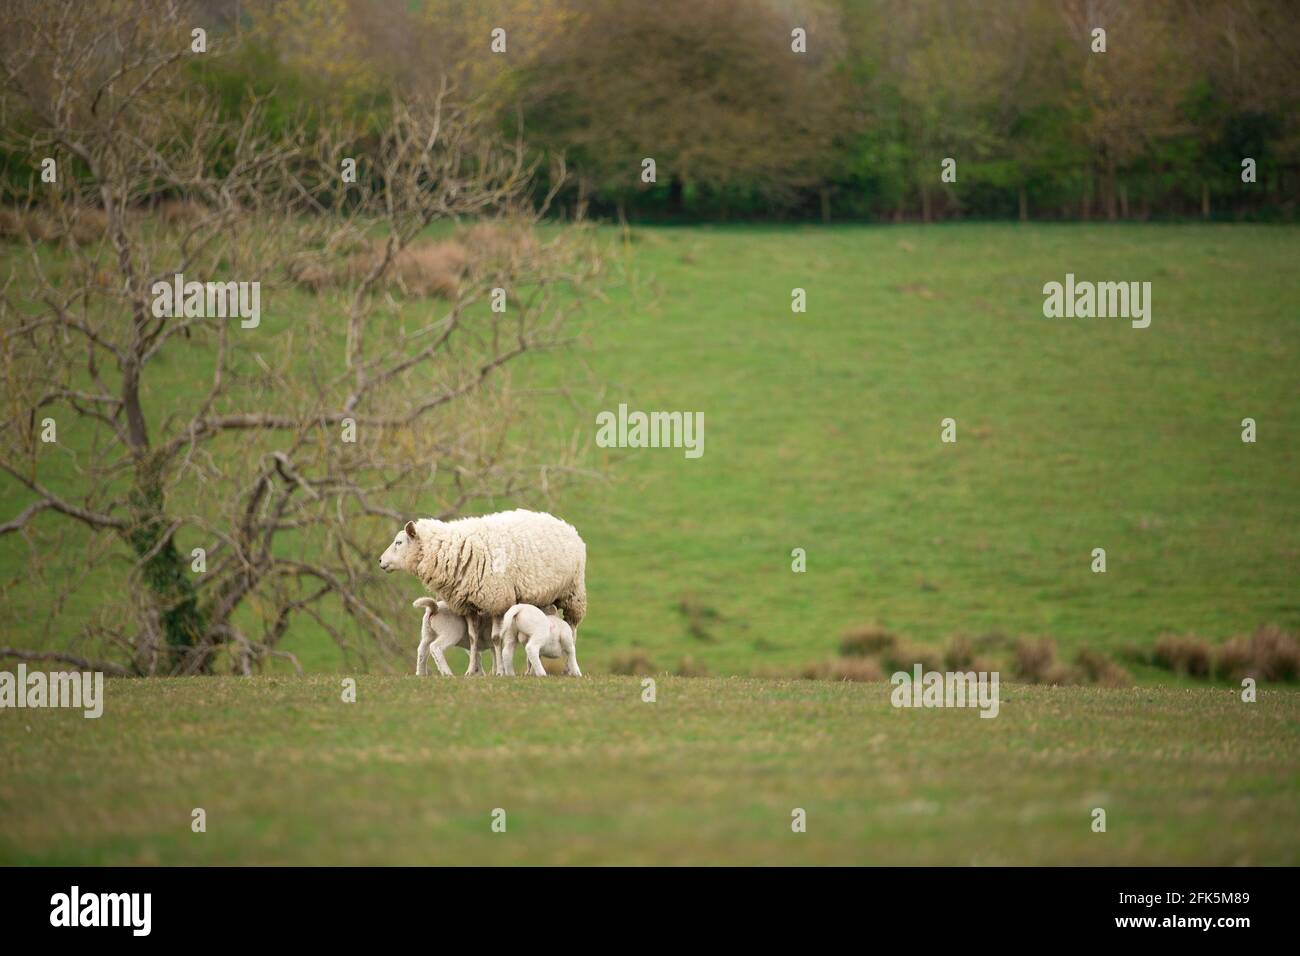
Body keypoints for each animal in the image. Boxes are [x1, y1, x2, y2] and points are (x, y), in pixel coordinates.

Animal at [379, 509, 586, 675]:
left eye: (398, 542)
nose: (380, 561)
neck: (454, 550)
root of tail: (566, 525)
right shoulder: (468, 604)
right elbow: (473, 639)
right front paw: (472, 670)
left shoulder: (497, 601)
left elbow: (496, 639)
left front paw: (499, 671)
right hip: (541, 597)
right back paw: (530, 670)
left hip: (572, 594)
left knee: (572, 629)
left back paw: (569, 668)